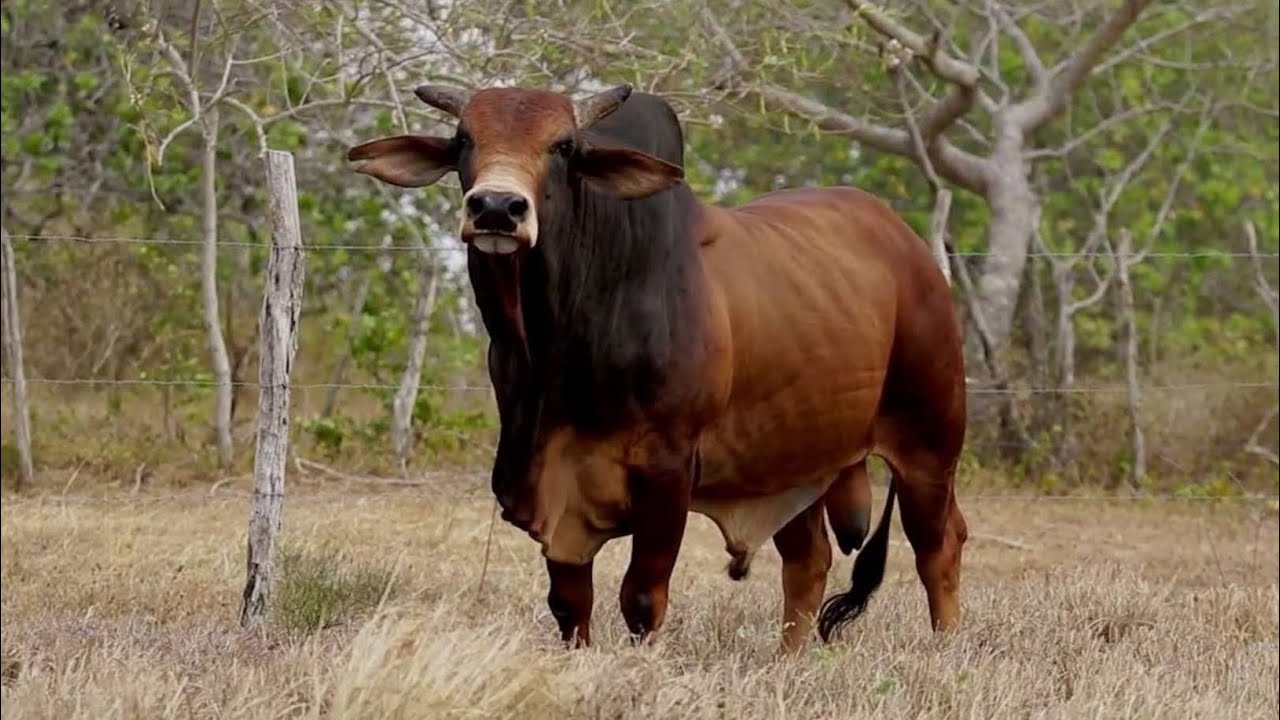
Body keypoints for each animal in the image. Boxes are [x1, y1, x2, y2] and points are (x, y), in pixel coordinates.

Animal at [346, 83, 969, 654]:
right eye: (463, 139)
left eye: (564, 146)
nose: (497, 208)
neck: (557, 346)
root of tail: (912, 247)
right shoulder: (550, 485)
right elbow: (569, 602)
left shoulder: (667, 472)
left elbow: (642, 597)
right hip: (797, 460)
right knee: (809, 559)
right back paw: (789, 660)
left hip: (929, 444)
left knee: (938, 544)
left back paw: (944, 649)